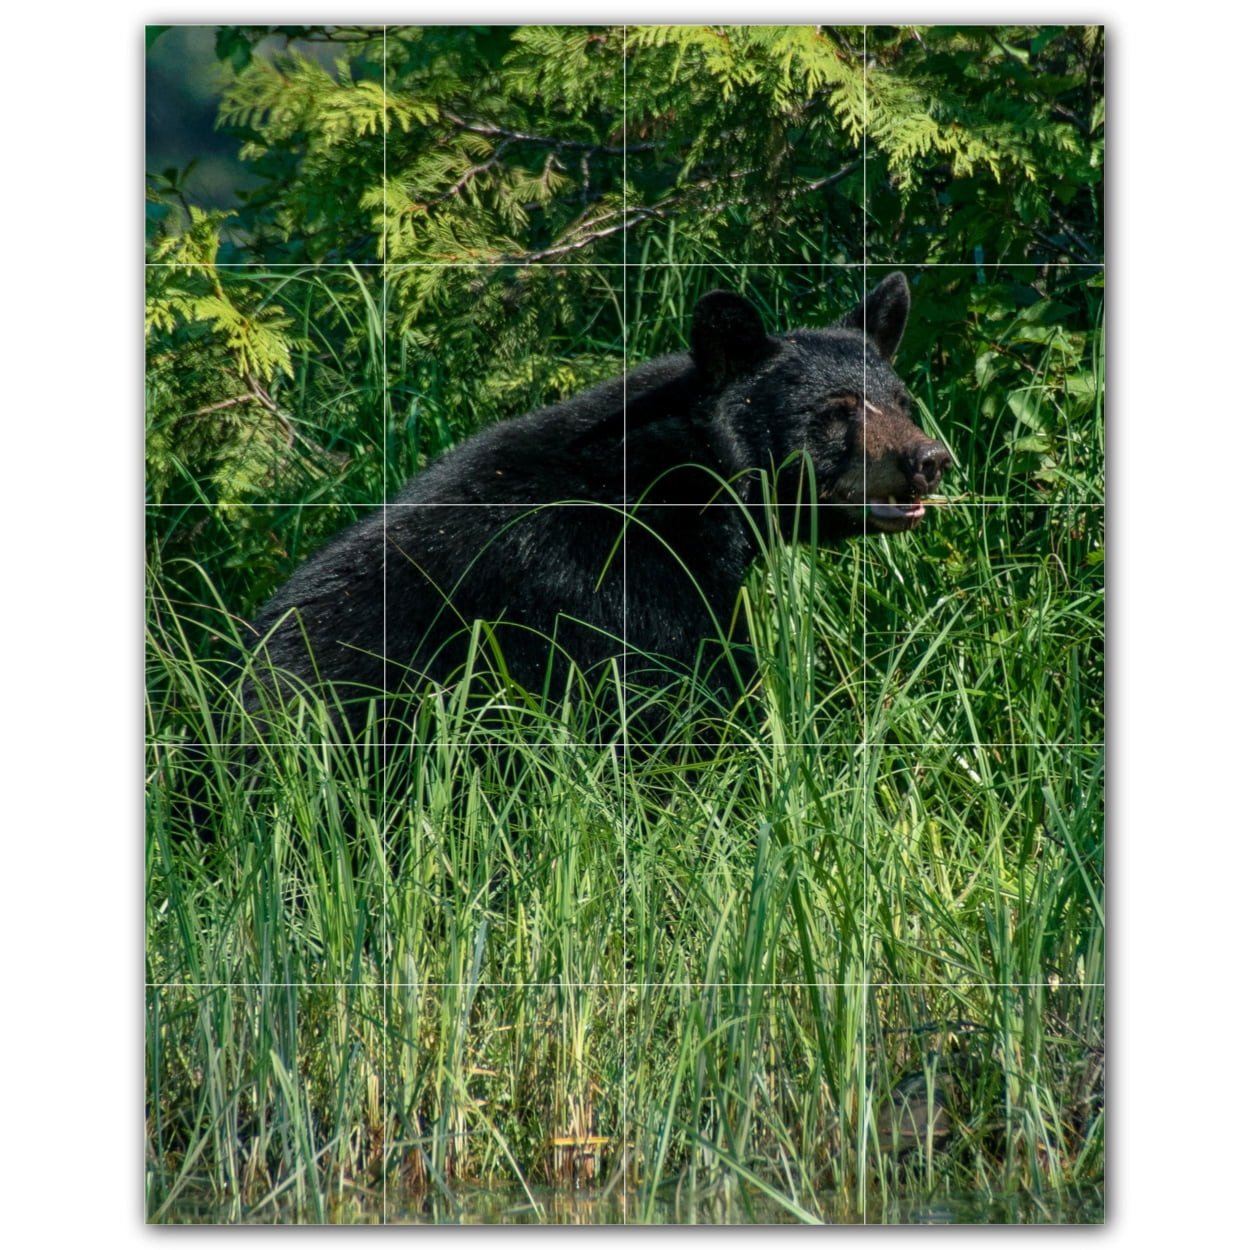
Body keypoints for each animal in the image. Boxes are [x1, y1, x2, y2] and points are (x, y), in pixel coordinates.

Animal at [246, 273, 951, 743]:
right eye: (837, 411)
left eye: (902, 400)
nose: (930, 459)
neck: (681, 481)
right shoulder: (616, 580)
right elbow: (685, 694)